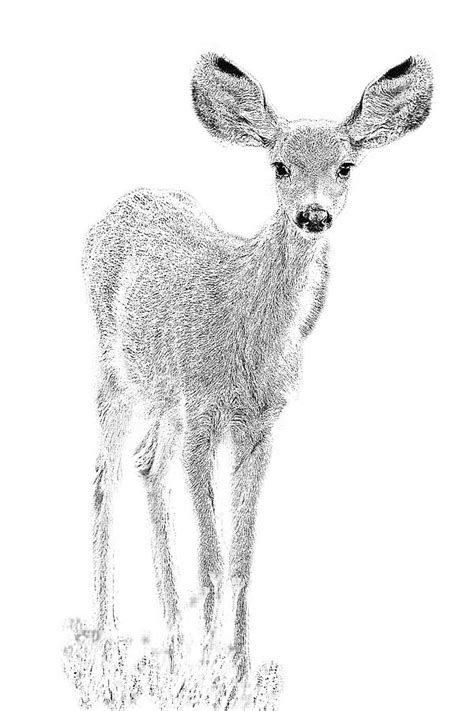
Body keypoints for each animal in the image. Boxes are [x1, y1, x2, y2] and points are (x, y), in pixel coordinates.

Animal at [82, 52, 433, 680]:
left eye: (346, 167)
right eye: (279, 165)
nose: (313, 215)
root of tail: (114, 211)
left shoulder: (260, 427)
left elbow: (243, 557)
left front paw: (238, 672)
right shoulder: (204, 418)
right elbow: (213, 556)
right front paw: (207, 673)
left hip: (166, 398)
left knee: (147, 464)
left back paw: (173, 643)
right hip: (116, 371)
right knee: (106, 477)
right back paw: (109, 640)